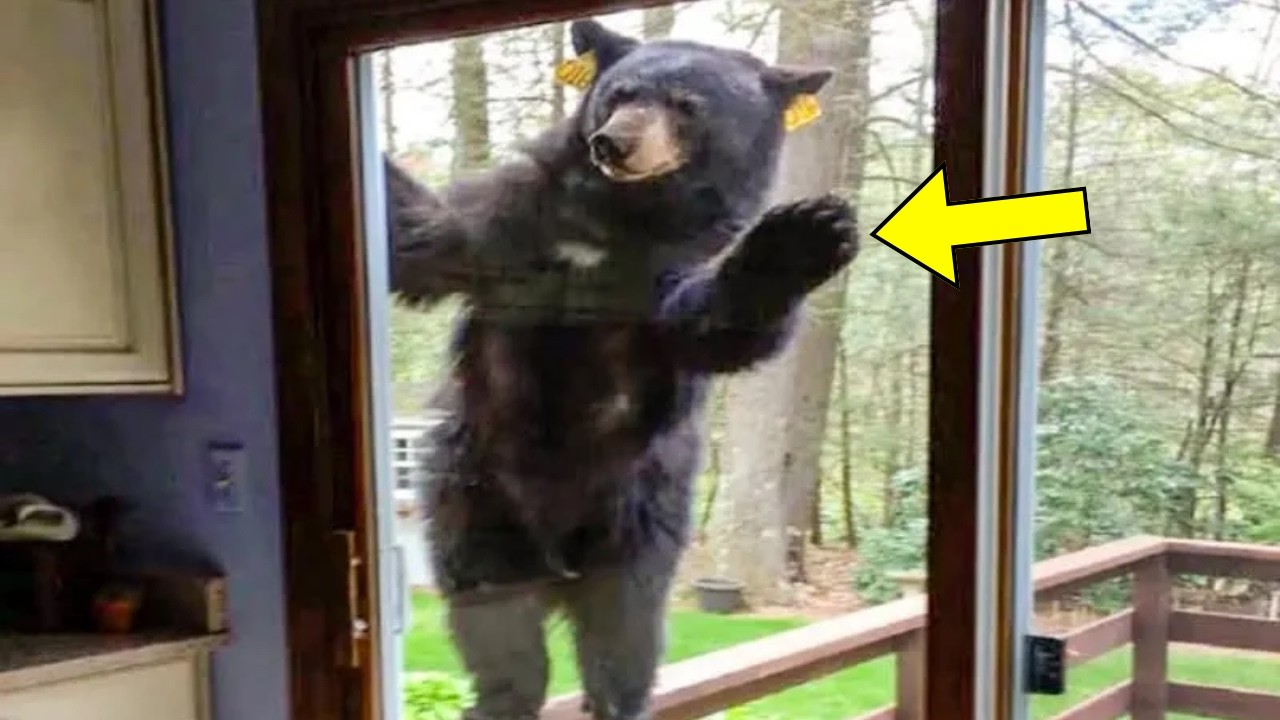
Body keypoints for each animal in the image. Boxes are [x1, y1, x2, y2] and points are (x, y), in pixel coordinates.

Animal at [384, 18, 860, 720]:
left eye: (687, 105)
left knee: (622, 644)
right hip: (472, 502)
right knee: (500, 635)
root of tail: (554, 567)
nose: (614, 142)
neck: (622, 221)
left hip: (638, 525)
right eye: (619, 94)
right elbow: (426, 236)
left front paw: (802, 235)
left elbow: (713, 326)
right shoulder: (513, 221)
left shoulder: (673, 268)